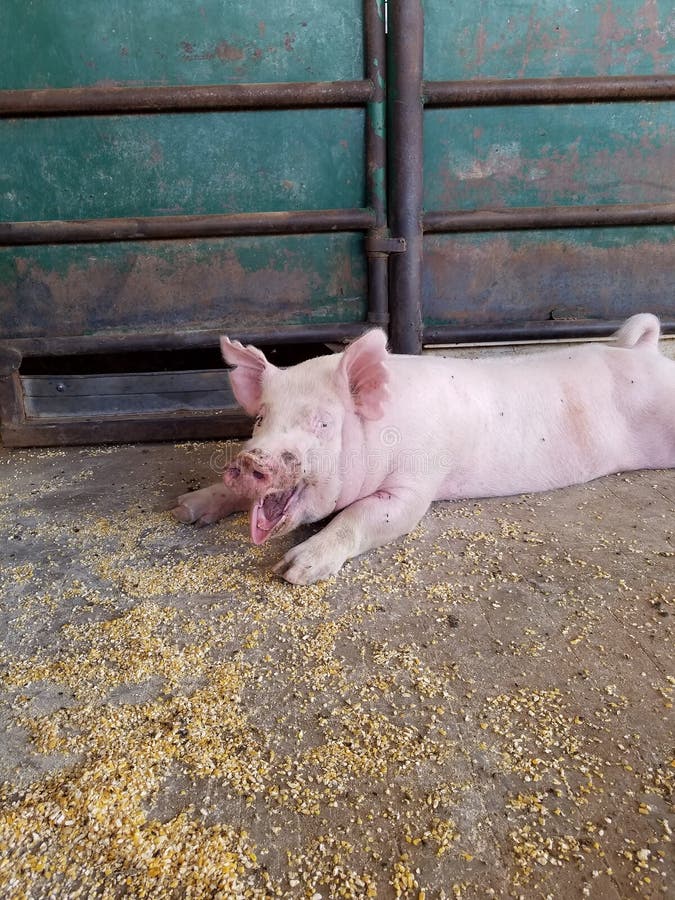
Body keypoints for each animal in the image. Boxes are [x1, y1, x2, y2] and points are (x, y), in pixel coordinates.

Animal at [172, 313, 675, 585]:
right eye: (261, 419)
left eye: (323, 423)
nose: (251, 459)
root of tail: (647, 351)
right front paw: (184, 508)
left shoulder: (414, 488)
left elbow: (360, 517)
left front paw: (293, 570)